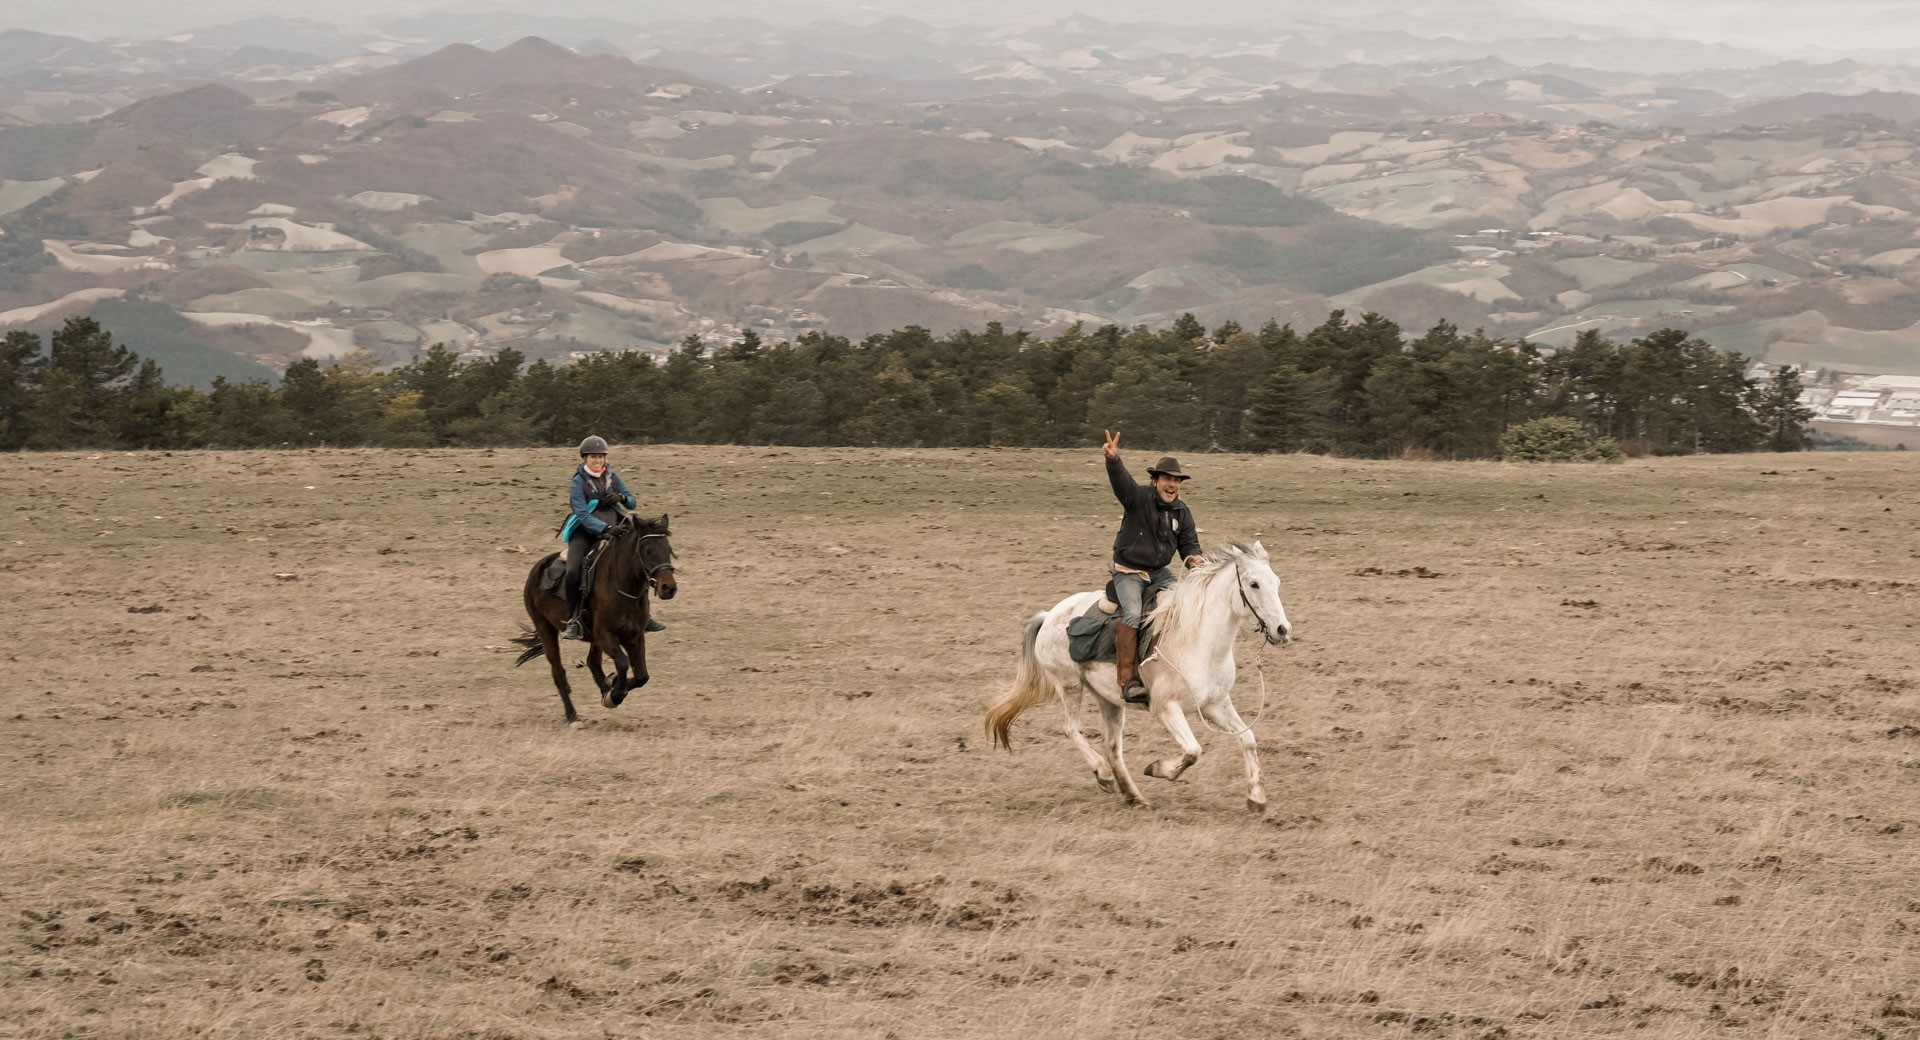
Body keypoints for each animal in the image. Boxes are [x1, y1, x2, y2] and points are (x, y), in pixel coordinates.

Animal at [512, 508, 677, 724]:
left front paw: (612, 687)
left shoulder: (634, 636)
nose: (668, 588)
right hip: (545, 628)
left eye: (669, 549)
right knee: (558, 671)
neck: (623, 587)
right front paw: (615, 694)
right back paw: (572, 714)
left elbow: (642, 676)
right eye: (647, 550)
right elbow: (623, 663)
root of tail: (537, 569)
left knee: (592, 662)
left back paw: (605, 688)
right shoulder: (606, 635)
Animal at [986, 541, 1291, 812]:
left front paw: (1256, 797)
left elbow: (1248, 738)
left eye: (1276, 582)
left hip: (1108, 699)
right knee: (1072, 729)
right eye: (1254, 584)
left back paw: (1133, 796)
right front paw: (1157, 769)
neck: (1197, 639)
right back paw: (1103, 773)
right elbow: (1193, 751)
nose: (1282, 630)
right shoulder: (1166, 708)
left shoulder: (1215, 704)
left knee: (1111, 746)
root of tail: (1050, 615)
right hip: (1069, 685)